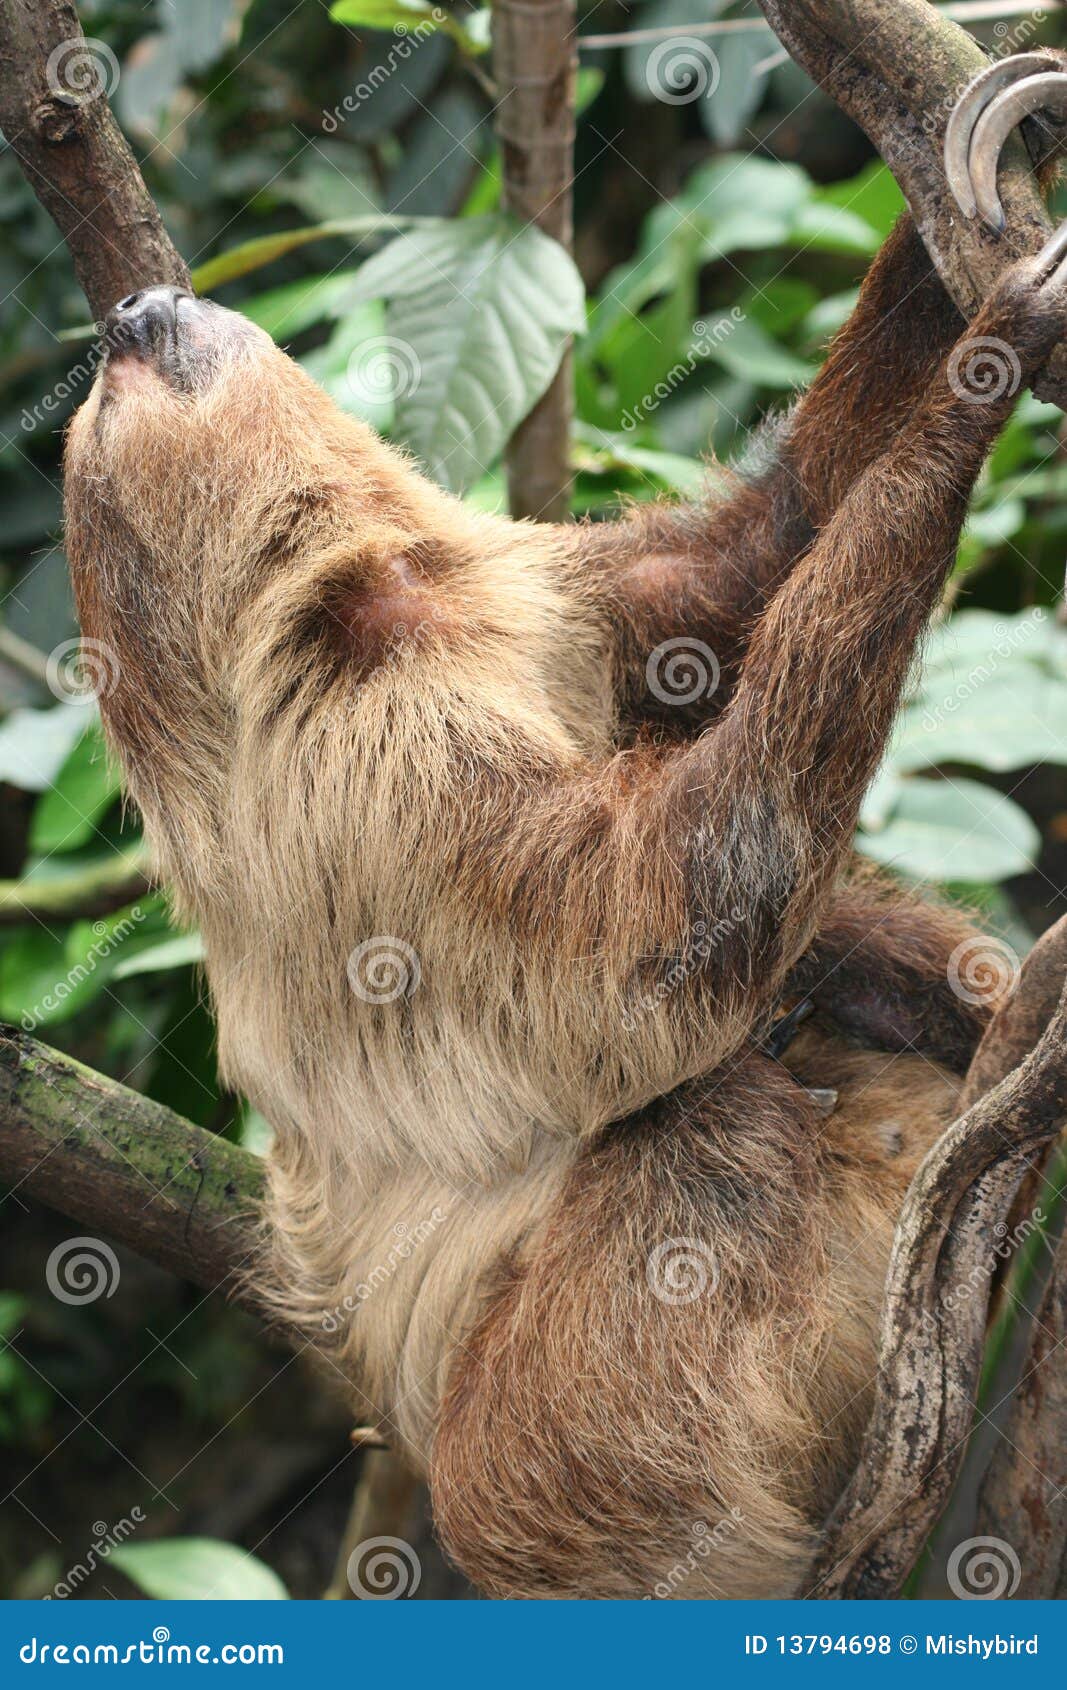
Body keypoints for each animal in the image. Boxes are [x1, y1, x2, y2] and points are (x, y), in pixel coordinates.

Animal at [61, 158, 1067, 1596]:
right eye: (111, 392)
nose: (134, 309)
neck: (390, 606)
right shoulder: (373, 780)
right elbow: (658, 931)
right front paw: (986, 364)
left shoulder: (535, 590)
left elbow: (735, 563)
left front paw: (937, 244)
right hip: (552, 1463)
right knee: (700, 1135)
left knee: (895, 948)